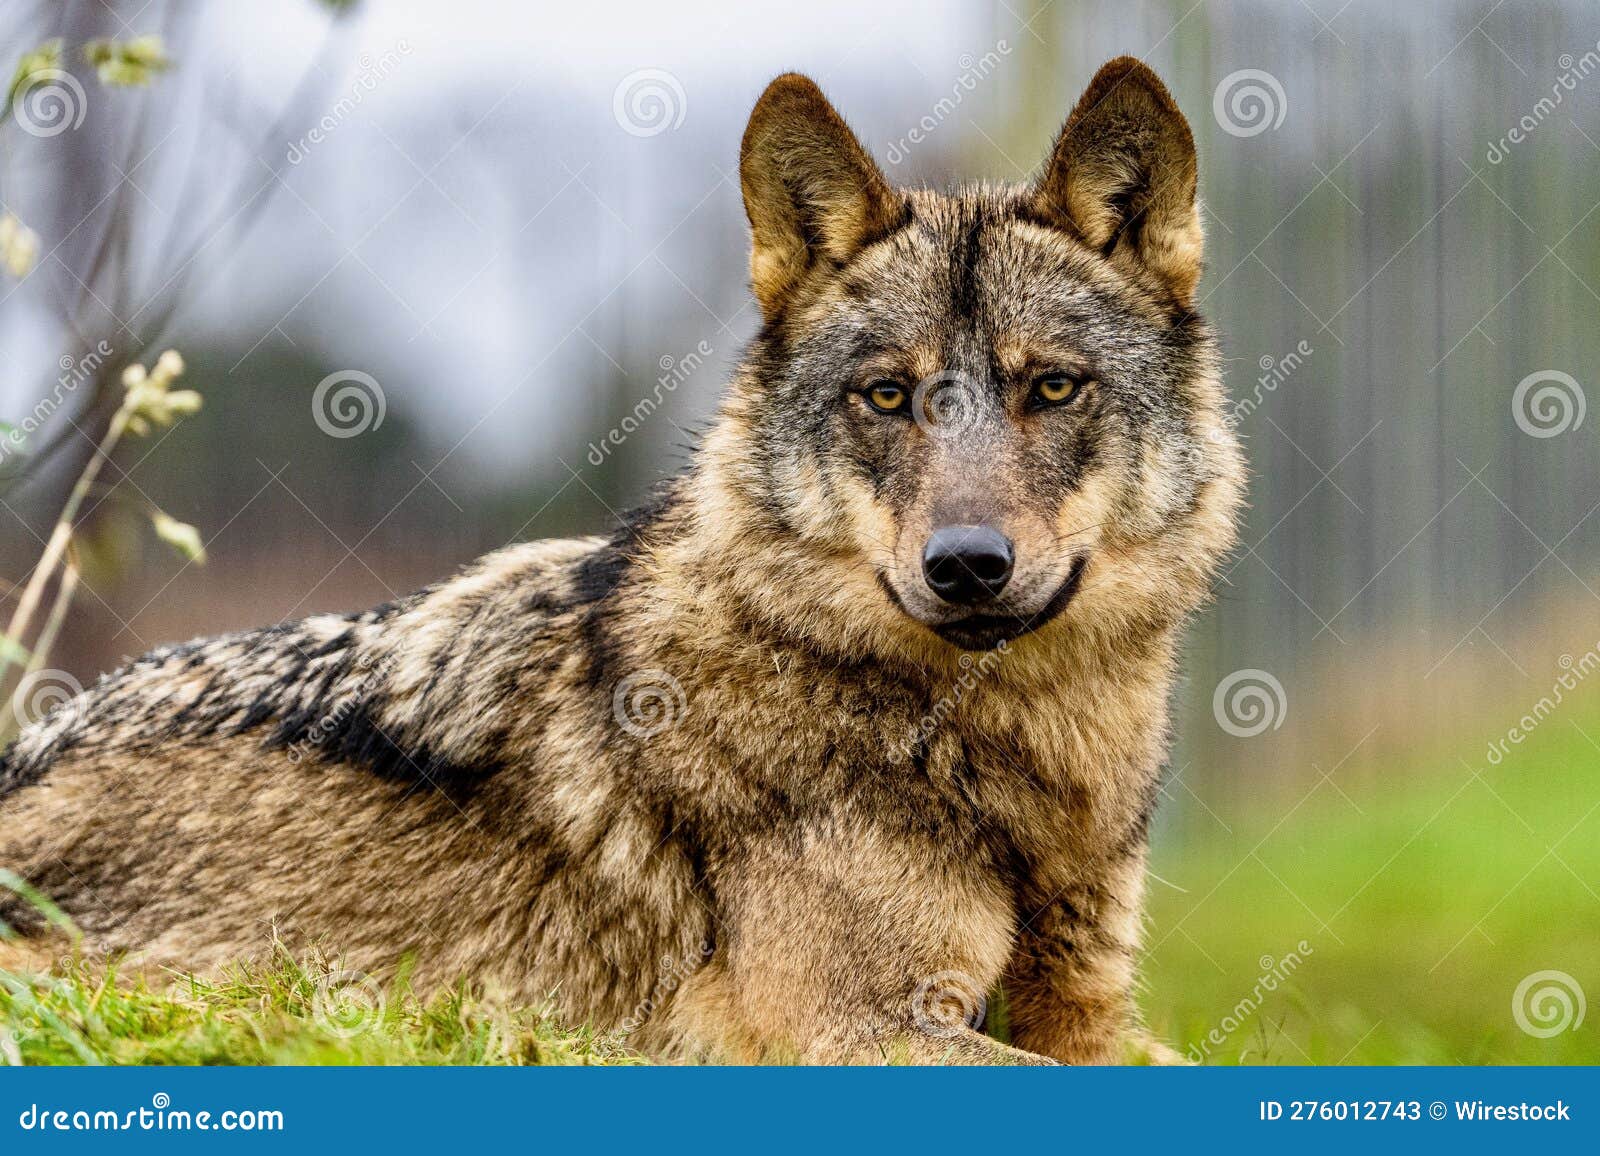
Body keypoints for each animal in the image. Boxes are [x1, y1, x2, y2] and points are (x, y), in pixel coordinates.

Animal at [0, 57, 1243, 1064]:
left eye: (1053, 388)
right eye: (889, 396)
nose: (967, 566)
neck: (1006, 753)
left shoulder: (1089, 1011)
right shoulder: (851, 1023)